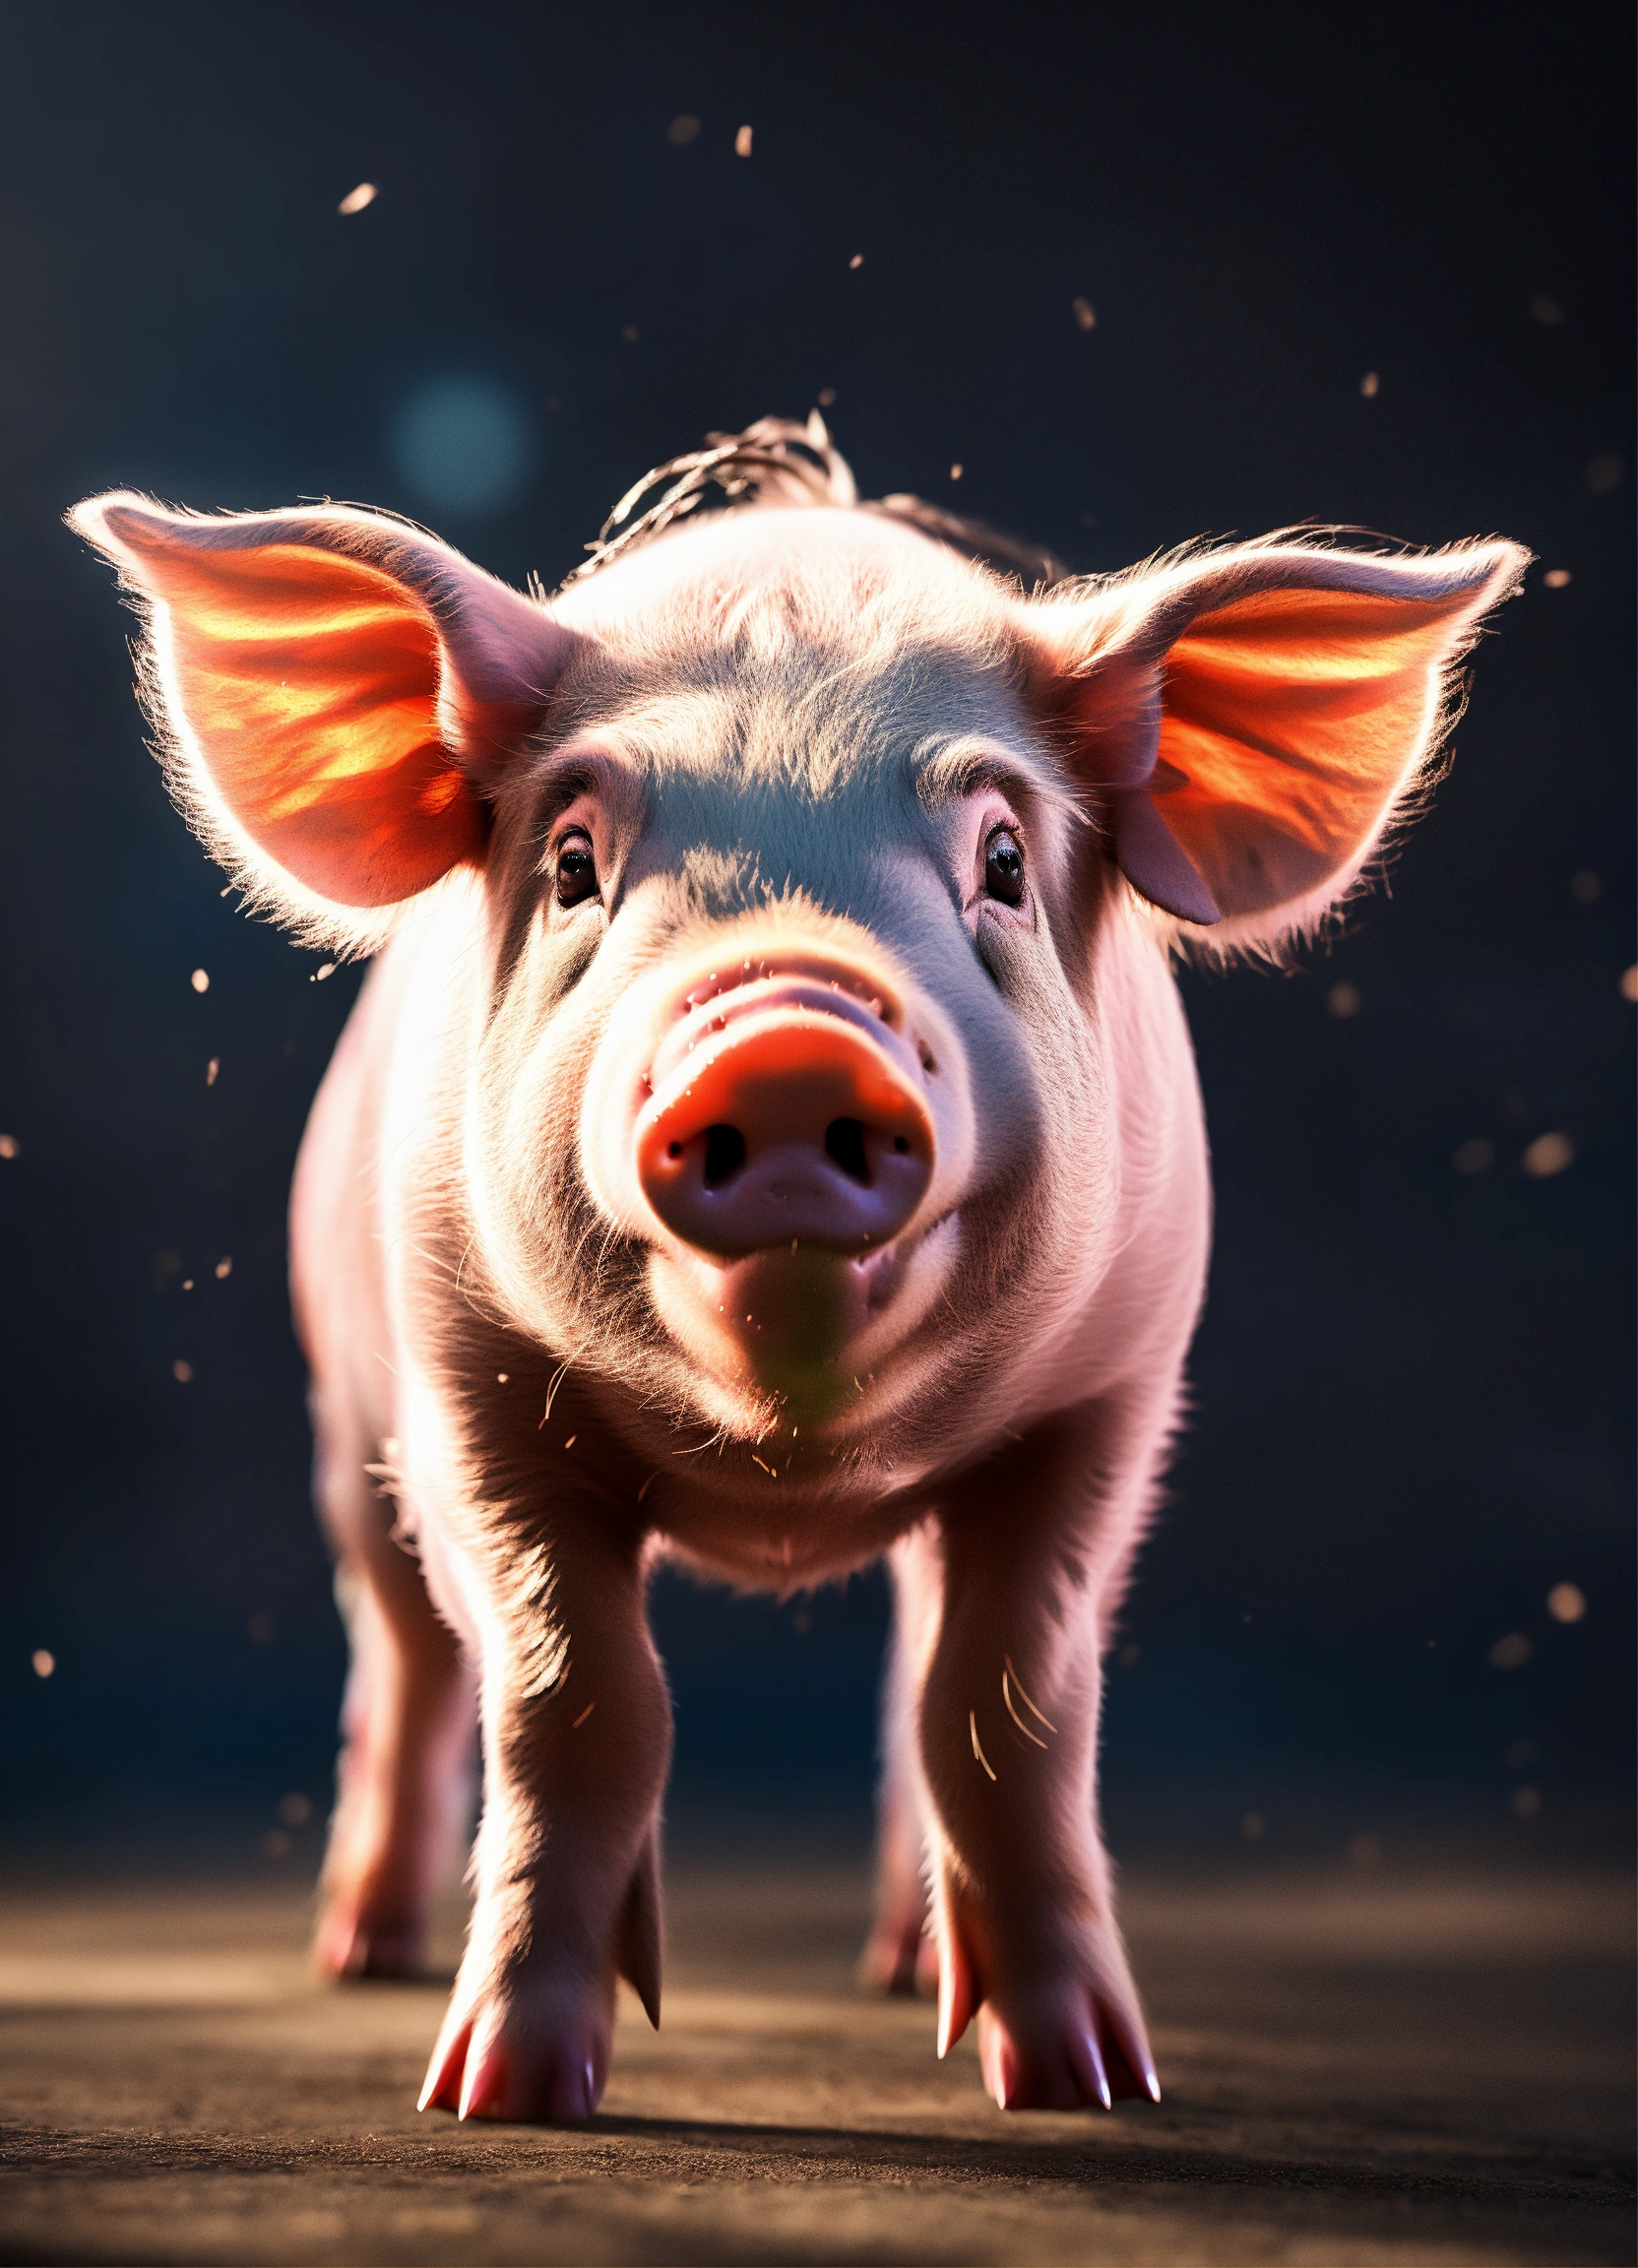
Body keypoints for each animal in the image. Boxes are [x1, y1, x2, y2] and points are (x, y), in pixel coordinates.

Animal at [70, 418, 1525, 2123]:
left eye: (1004, 859)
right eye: (576, 860)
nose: (784, 1037)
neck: (785, 1477)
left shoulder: (1113, 1393)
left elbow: (1006, 1702)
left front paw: (1085, 2083)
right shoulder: (464, 1377)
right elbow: (574, 1699)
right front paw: (502, 2092)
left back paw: (900, 1971)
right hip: (345, 1418)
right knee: (408, 1650)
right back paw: (360, 1953)